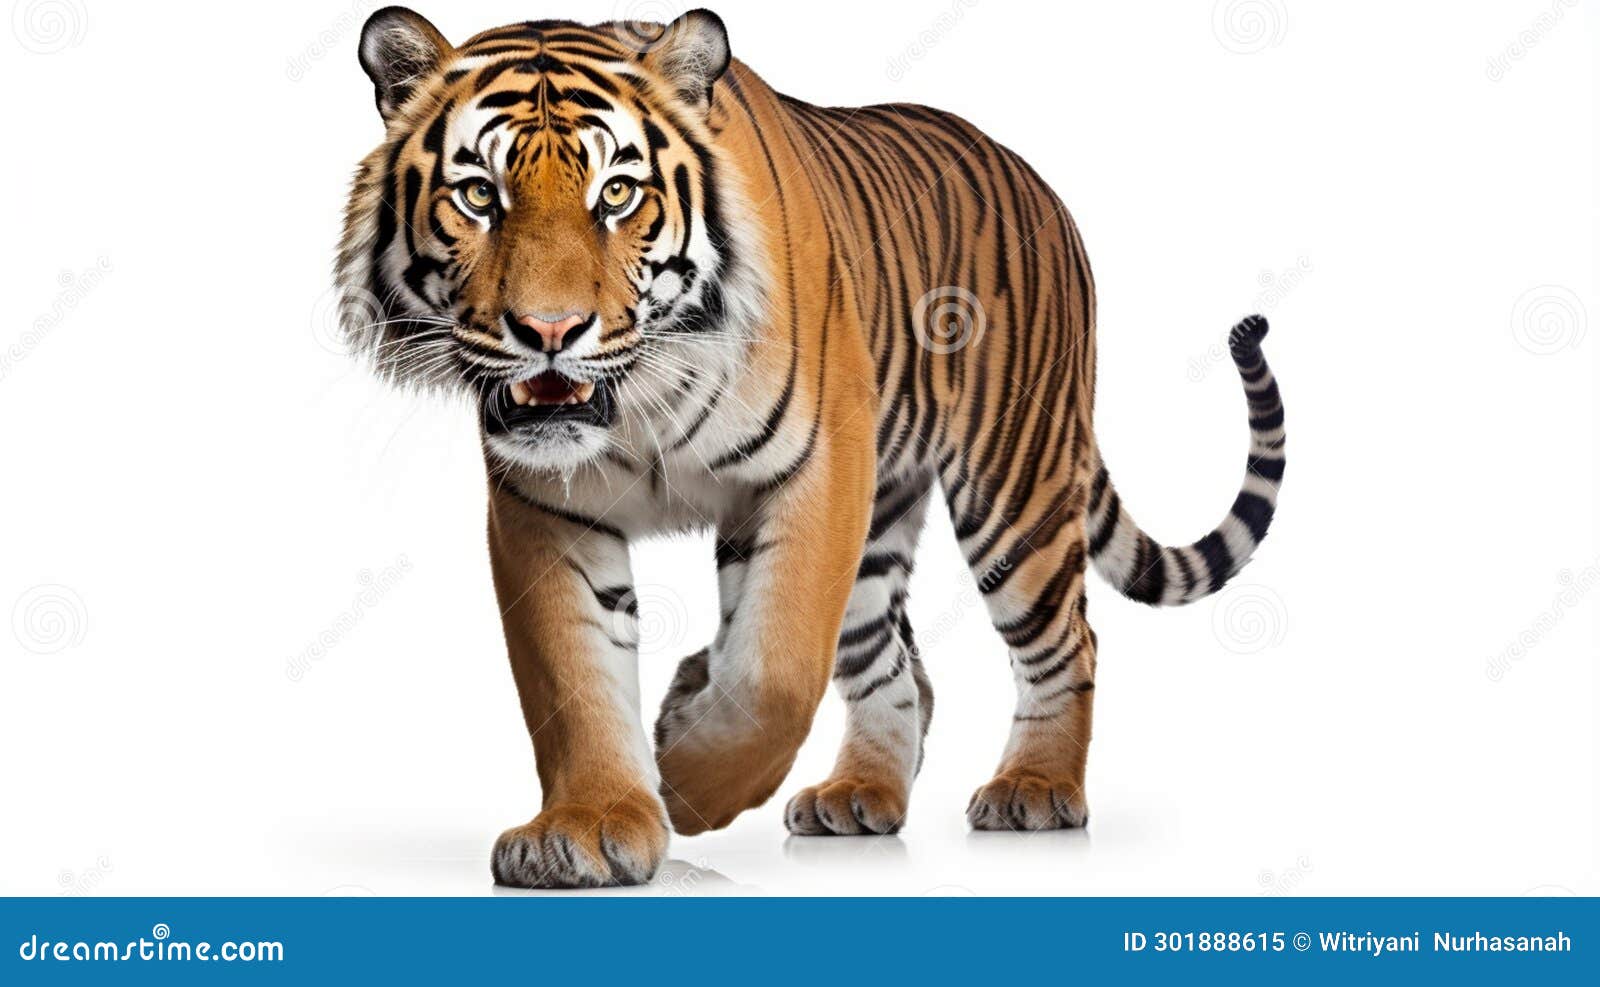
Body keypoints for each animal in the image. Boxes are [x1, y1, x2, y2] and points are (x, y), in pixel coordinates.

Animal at [338, 6, 1286, 888]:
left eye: (616, 195)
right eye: (478, 197)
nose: (549, 332)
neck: (637, 395)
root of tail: (1033, 178)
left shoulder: (817, 470)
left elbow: (776, 671)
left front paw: (683, 784)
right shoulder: (546, 506)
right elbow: (574, 674)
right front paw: (592, 822)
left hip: (1013, 482)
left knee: (1065, 640)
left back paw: (1037, 787)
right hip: (887, 509)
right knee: (897, 666)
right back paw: (861, 793)